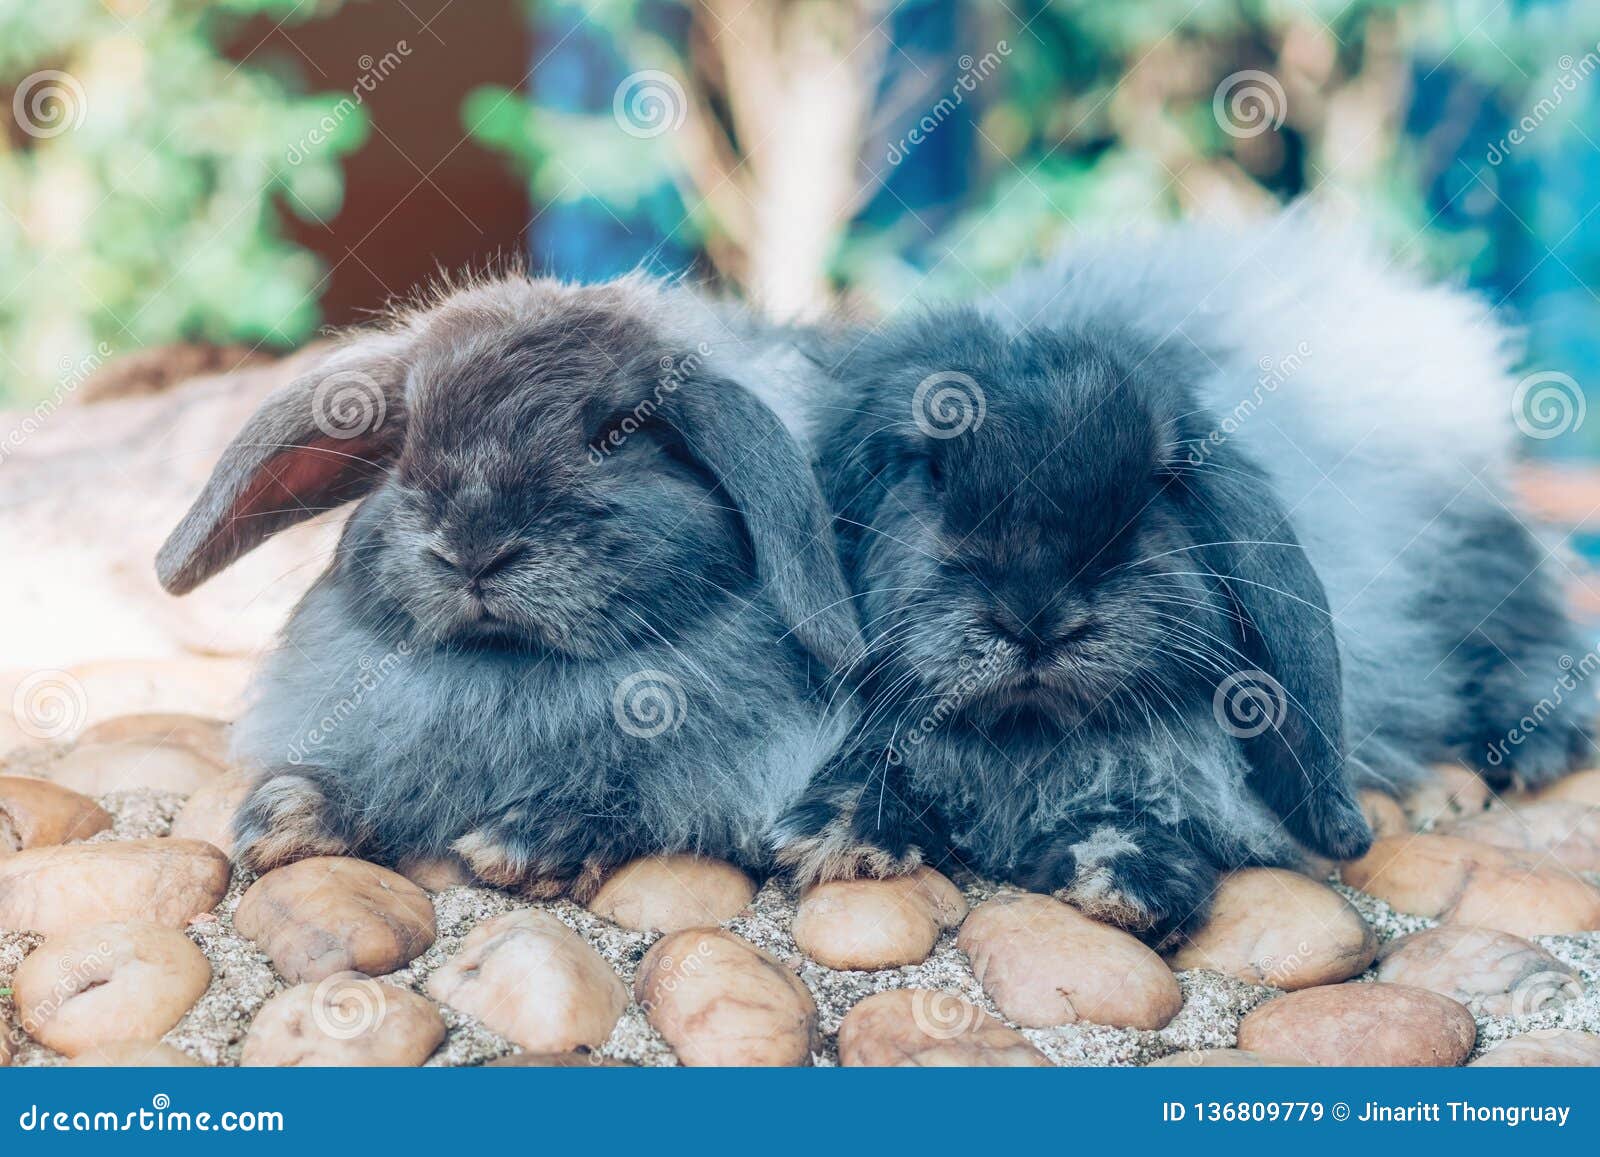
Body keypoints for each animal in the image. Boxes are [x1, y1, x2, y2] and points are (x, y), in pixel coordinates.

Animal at [156, 272, 861, 898]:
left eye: (614, 435)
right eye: (403, 445)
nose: (474, 550)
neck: (506, 669)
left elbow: (644, 804)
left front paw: (526, 842)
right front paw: (285, 817)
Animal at [773, 208, 1592, 942]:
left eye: (1159, 483)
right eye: (925, 469)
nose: (1037, 615)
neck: (1027, 735)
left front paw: (1126, 881)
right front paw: (838, 833)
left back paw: (1536, 743)